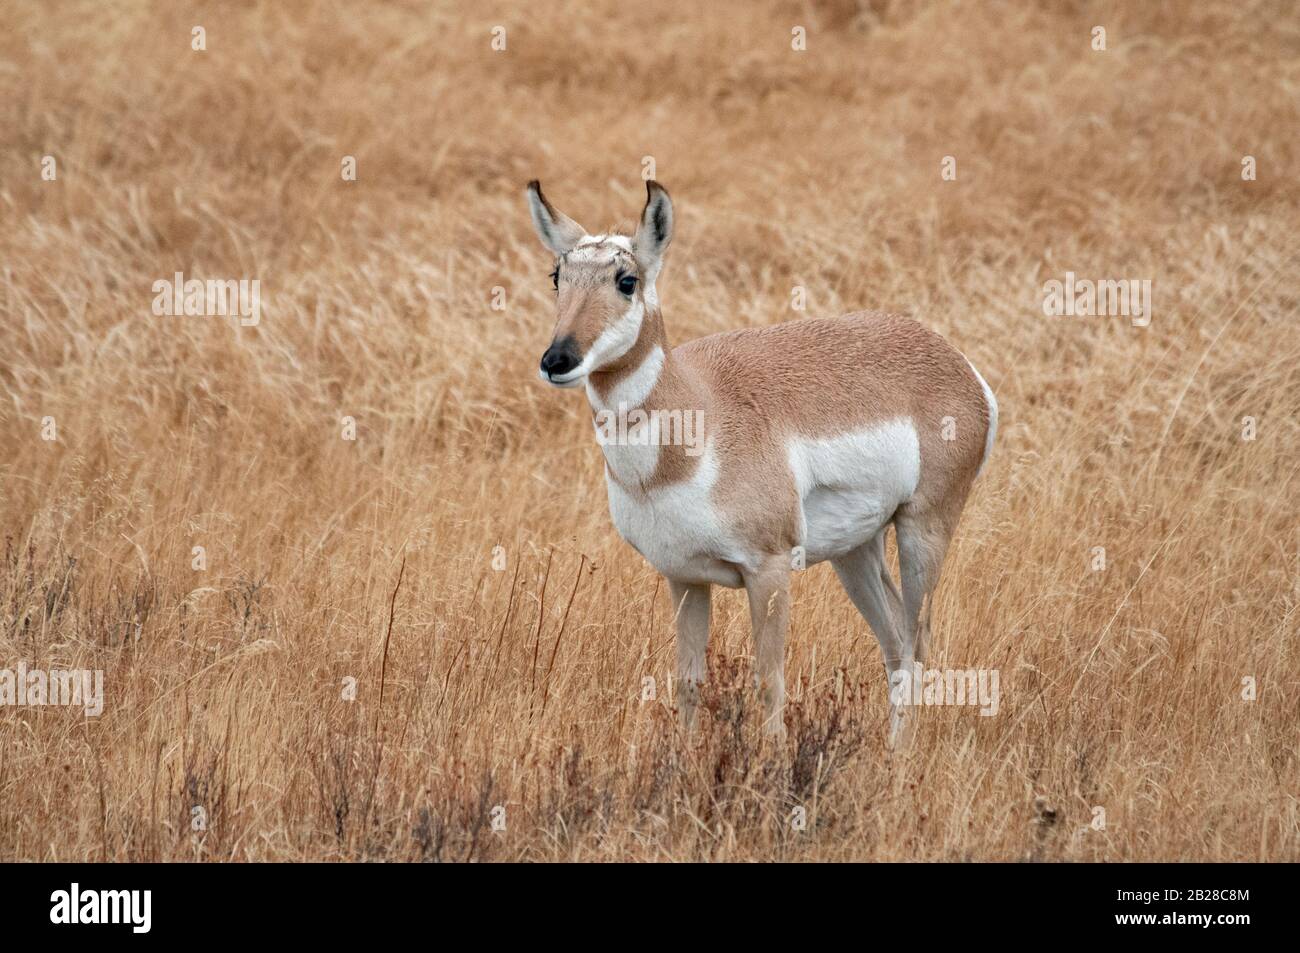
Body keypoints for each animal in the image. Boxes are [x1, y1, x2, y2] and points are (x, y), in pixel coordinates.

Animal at [525, 180, 997, 744]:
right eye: (558, 276)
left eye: (626, 280)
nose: (557, 360)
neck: (696, 414)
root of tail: (958, 364)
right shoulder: (684, 578)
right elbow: (688, 684)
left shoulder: (768, 570)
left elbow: (769, 681)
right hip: (855, 551)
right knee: (893, 639)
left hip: (923, 530)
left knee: (917, 640)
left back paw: (899, 756)